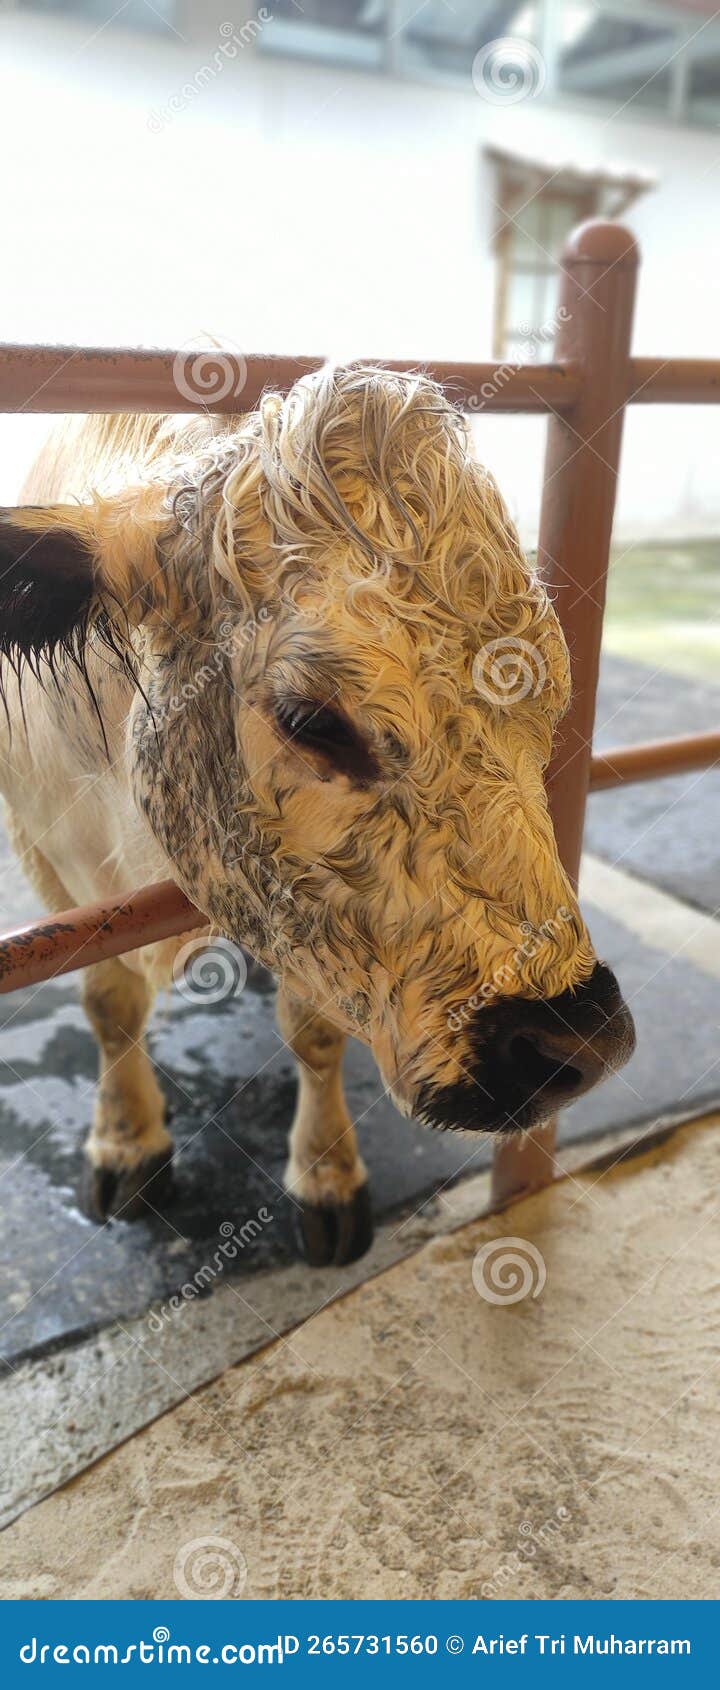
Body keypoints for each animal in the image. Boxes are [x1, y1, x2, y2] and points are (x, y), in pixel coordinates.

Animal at [0, 365, 635, 1265]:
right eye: (312, 721)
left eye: (551, 701)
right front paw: (127, 1143)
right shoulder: (46, 858)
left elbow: (316, 1033)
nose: (579, 1038)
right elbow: (109, 1005)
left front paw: (327, 1172)